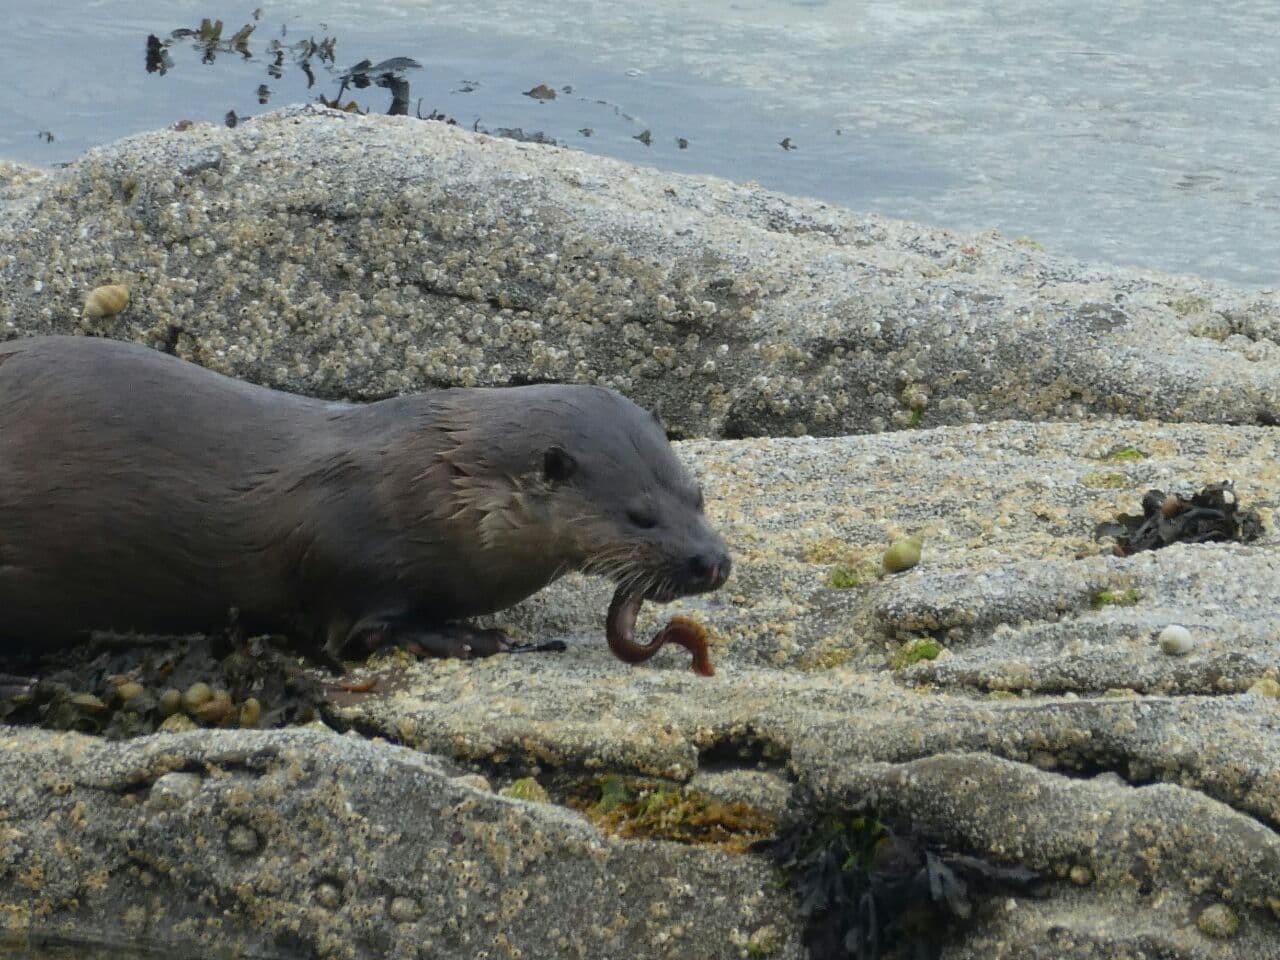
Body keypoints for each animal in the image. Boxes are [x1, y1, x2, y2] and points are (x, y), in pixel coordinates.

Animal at [0, 336, 730, 664]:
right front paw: (472, 635)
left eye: (697, 494)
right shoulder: (353, 565)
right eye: (640, 515)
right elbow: (361, 631)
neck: (435, 489)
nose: (712, 561)